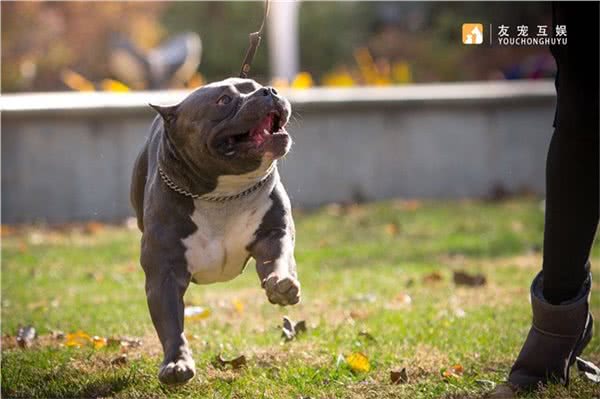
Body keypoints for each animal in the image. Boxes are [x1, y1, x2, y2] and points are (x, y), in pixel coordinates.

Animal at [131, 77, 300, 384]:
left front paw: (281, 284)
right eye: (223, 100)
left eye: (255, 85)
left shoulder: (273, 234)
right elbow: (171, 325)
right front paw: (176, 362)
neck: (223, 196)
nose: (269, 90)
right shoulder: (164, 274)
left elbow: (277, 258)